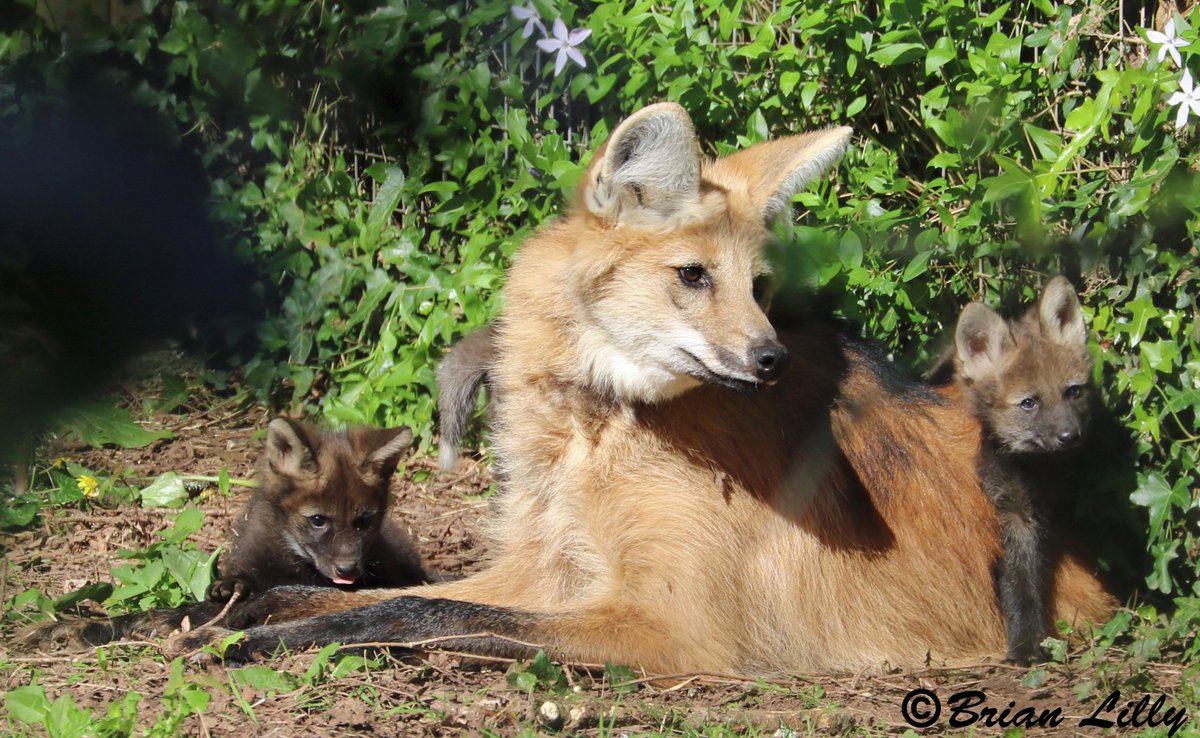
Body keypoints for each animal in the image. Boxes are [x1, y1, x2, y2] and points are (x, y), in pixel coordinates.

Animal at [951, 276, 1094, 663]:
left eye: (1072, 392)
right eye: (1029, 403)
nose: (1070, 436)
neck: (1034, 475)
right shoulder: (1013, 519)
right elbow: (1021, 588)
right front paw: (1026, 645)